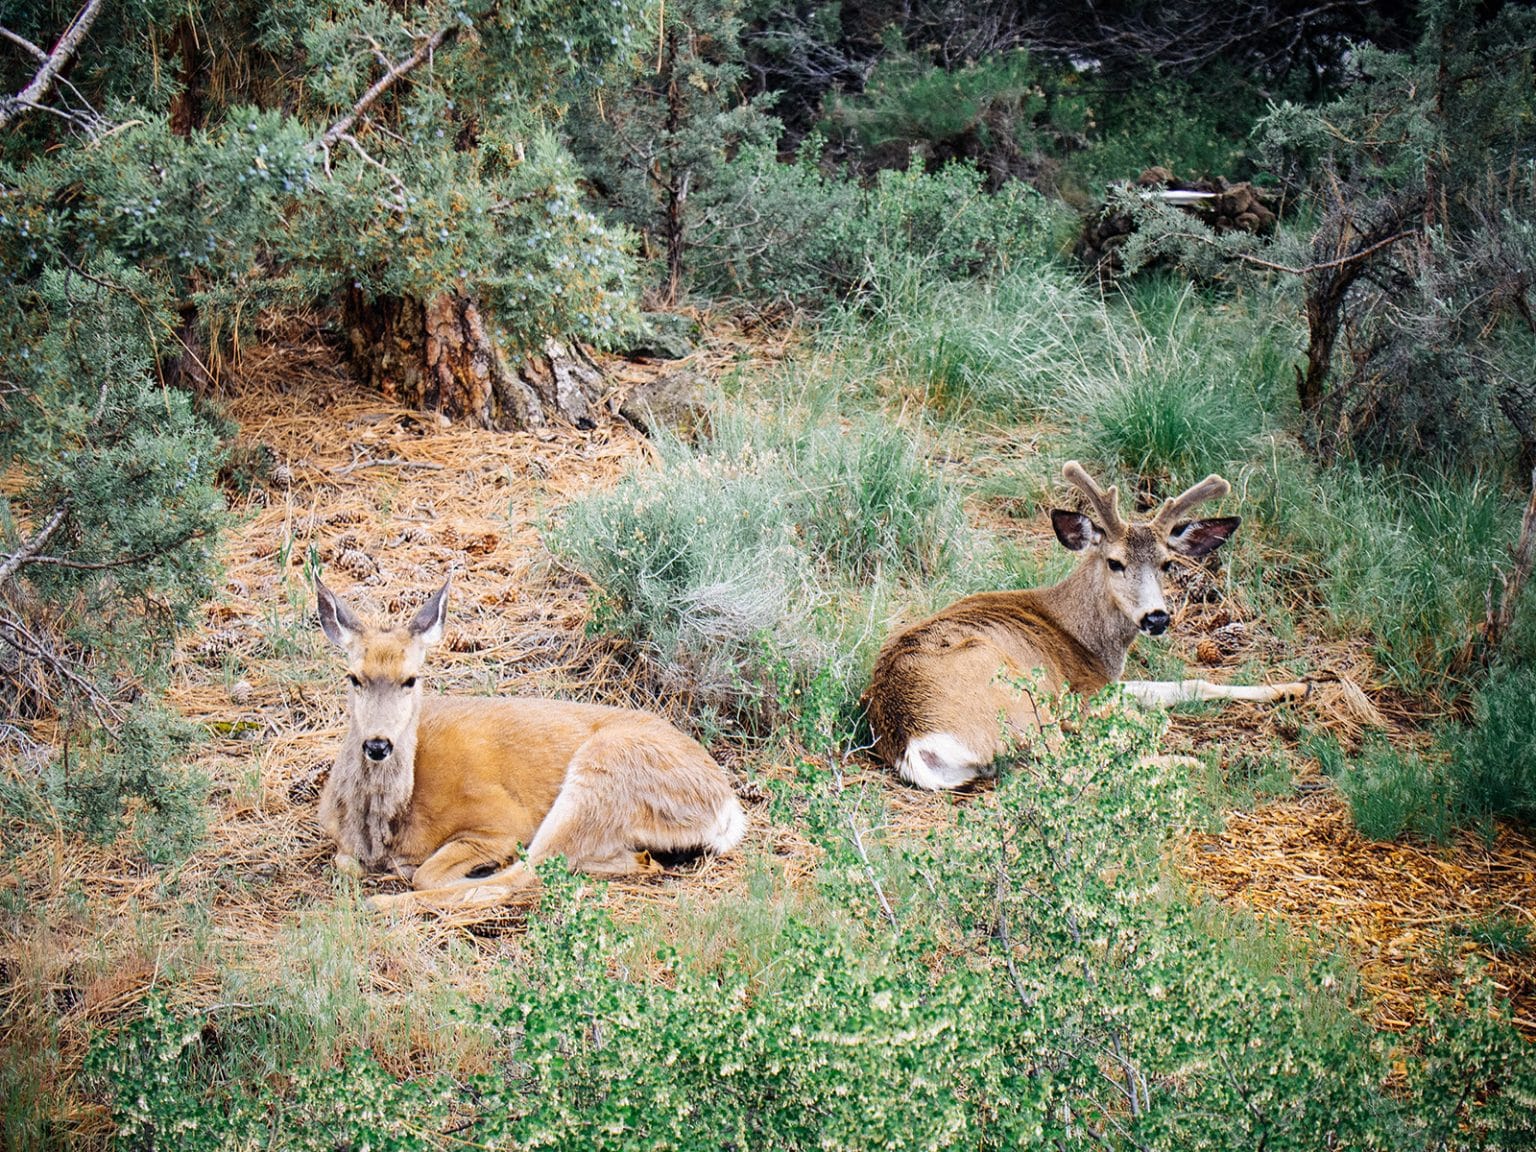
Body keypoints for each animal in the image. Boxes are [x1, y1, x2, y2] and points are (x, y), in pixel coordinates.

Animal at [315, 577, 746, 912]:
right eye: (353, 677)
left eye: (411, 679)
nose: (377, 744)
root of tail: (726, 807)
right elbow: (344, 862)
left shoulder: (500, 821)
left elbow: (427, 872)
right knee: (625, 862)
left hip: (603, 774)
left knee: (521, 875)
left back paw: (383, 902)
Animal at [867, 461, 1310, 790]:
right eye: (1115, 562)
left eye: (1167, 564)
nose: (1156, 617)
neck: (1084, 637)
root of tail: (914, 742)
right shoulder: (1087, 690)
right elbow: (1157, 711)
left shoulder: (1108, 683)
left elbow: (1189, 684)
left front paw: (1294, 687)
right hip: (1019, 700)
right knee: (1069, 766)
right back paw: (1190, 762)